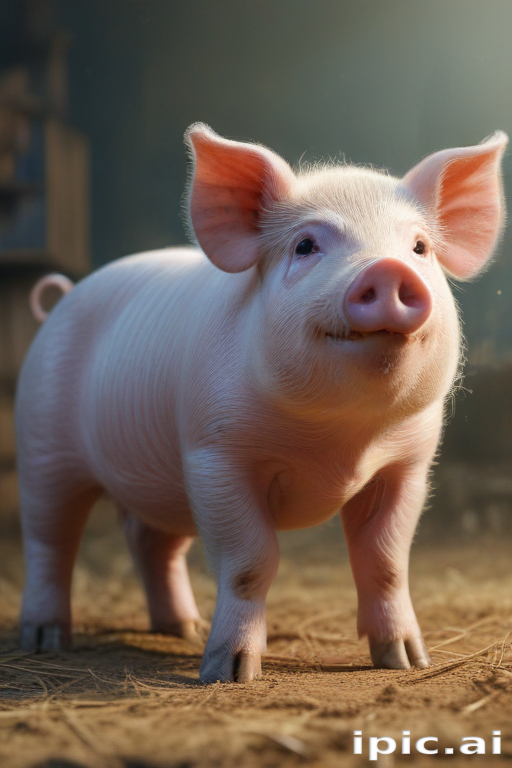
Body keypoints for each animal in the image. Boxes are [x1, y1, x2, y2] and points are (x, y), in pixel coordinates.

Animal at [16, 124, 507, 683]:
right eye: (306, 245)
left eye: (419, 247)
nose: (387, 270)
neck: (340, 443)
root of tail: (64, 297)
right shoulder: (215, 455)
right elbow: (251, 561)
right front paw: (228, 674)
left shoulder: (407, 465)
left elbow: (384, 562)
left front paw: (405, 661)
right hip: (42, 442)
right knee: (49, 539)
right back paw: (46, 640)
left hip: (163, 487)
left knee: (150, 541)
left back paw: (182, 629)